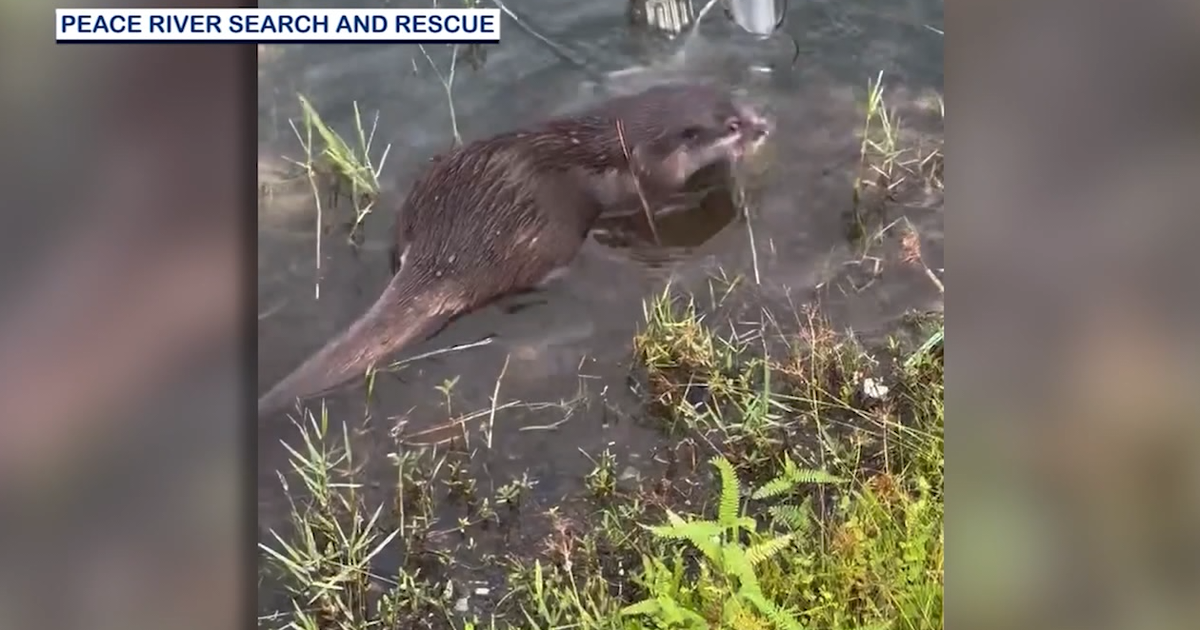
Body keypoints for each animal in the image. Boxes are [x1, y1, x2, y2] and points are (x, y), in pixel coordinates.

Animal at [258, 83, 771, 417]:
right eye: (732, 125)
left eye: (742, 104)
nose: (764, 126)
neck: (621, 153)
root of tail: (446, 250)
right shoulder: (643, 188)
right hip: (544, 242)